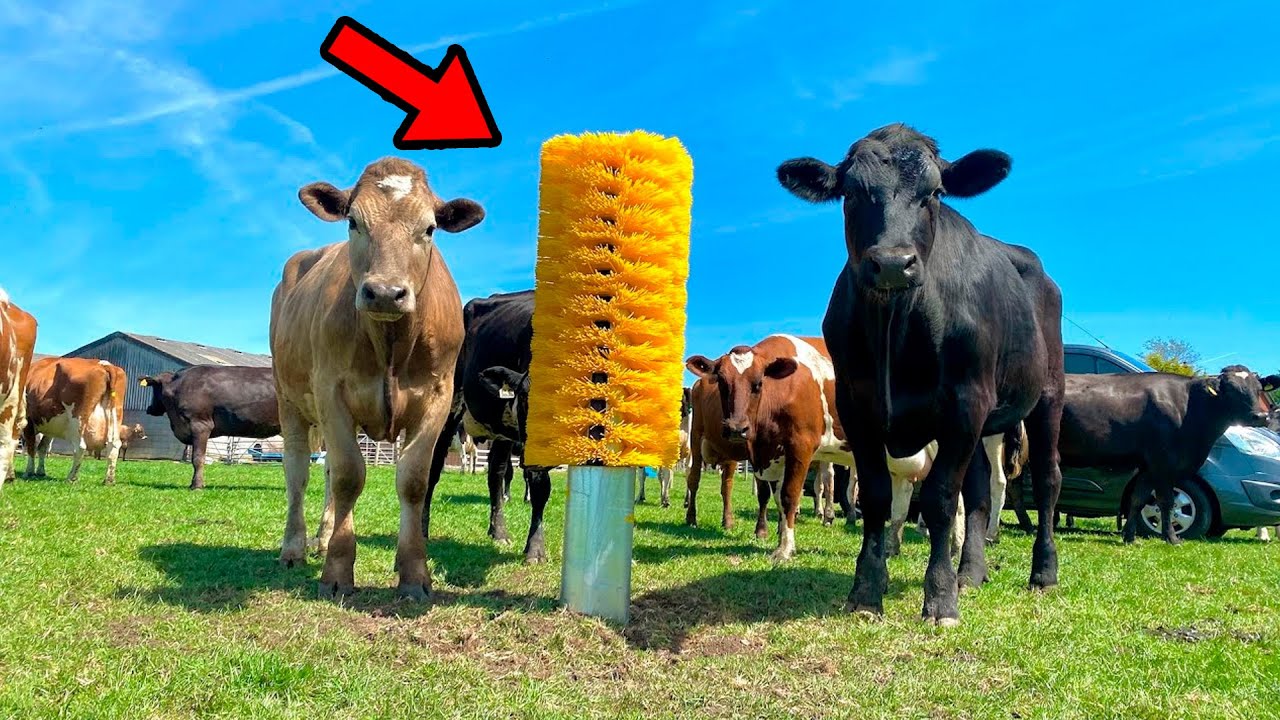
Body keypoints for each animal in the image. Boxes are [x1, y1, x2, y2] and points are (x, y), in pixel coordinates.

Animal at [271, 156, 485, 599]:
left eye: (429, 229)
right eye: (353, 222)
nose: (385, 292)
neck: (390, 346)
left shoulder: (438, 398)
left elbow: (413, 481)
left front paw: (414, 573)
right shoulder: (331, 391)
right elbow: (350, 476)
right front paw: (337, 572)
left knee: (326, 470)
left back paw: (322, 538)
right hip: (290, 401)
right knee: (299, 473)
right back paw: (294, 548)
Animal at [420, 289, 552, 565]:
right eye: (524, 399)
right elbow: (539, 487)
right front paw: (535, 550)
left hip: (502, 431)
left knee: (496, 474)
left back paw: (498, 532)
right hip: (451, 406)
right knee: (433, 468)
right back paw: (422, 529)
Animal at [777, 123, 1066, 625]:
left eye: (934, 193)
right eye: (851, 193)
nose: (893, 263)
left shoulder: (965, 401)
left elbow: (940, 498)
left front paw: (940, 598)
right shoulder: (857, 404)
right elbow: (875, 495)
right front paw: (866, 591)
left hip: (1047, 393)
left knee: (1047, 479)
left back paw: (1042, 573)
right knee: (981, 491)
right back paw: (971, 572)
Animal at [1058, 365, 1275, 544]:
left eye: (1258, 388)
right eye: (1230, 389)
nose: (1260, 416)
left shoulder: (1147, 466)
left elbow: (1138, 499)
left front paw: (1129, 537)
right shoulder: (1163, 462)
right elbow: (1166, 501)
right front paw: (1171, 538)